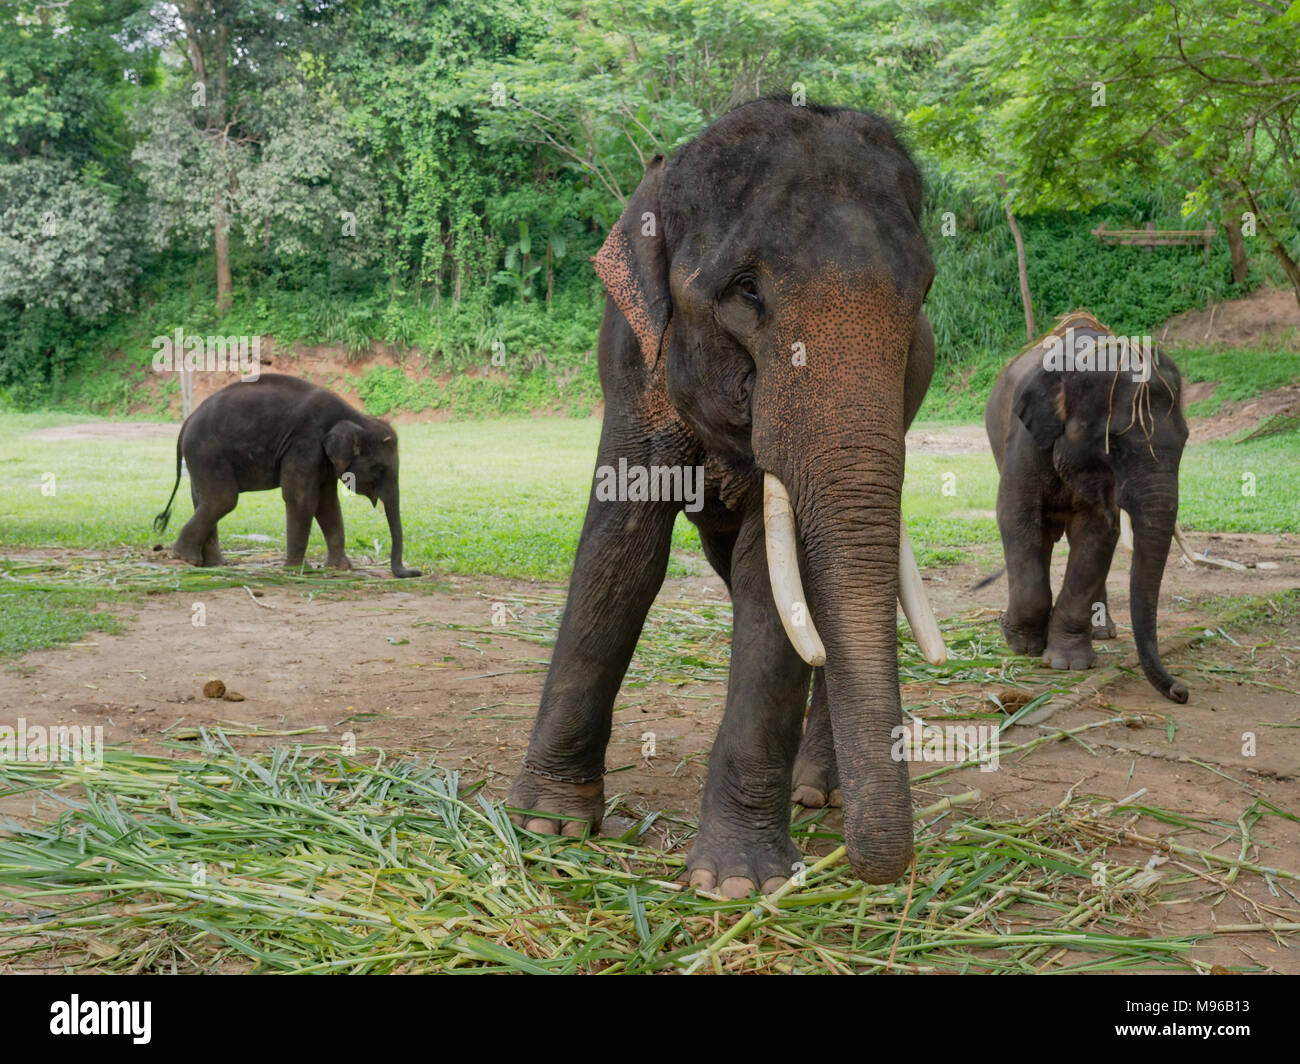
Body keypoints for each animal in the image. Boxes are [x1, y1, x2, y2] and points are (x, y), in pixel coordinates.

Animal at [152, 374, 421, 579]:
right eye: (379, 468)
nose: (415, 572)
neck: (355, 416)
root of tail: (185, 423)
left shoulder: (321, 459)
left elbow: (328, 504)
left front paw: (340, 567)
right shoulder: (304, 444)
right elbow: (302, 498)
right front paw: (299, 569)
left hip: (199, 459)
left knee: (203, 499)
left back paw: (213, 564)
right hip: (207, 453)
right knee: (222, 499)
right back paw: (186, 558)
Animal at [507, 98, 945, 893]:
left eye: (920, 293)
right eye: (746, 289)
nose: (880, 871)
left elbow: (767, 578)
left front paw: (739, 883)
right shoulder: (631, 363)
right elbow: (622, 547)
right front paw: (546, 826)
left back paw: (819, 794)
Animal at [984, 311, 1189, 703]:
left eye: (1185, 441)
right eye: (1115, 445)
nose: (1180, 691)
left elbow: (1098, 533)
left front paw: (1067, 663)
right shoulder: (1025, 439)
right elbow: (1016, 516)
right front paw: (1021, 644)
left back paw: (1102, 631)